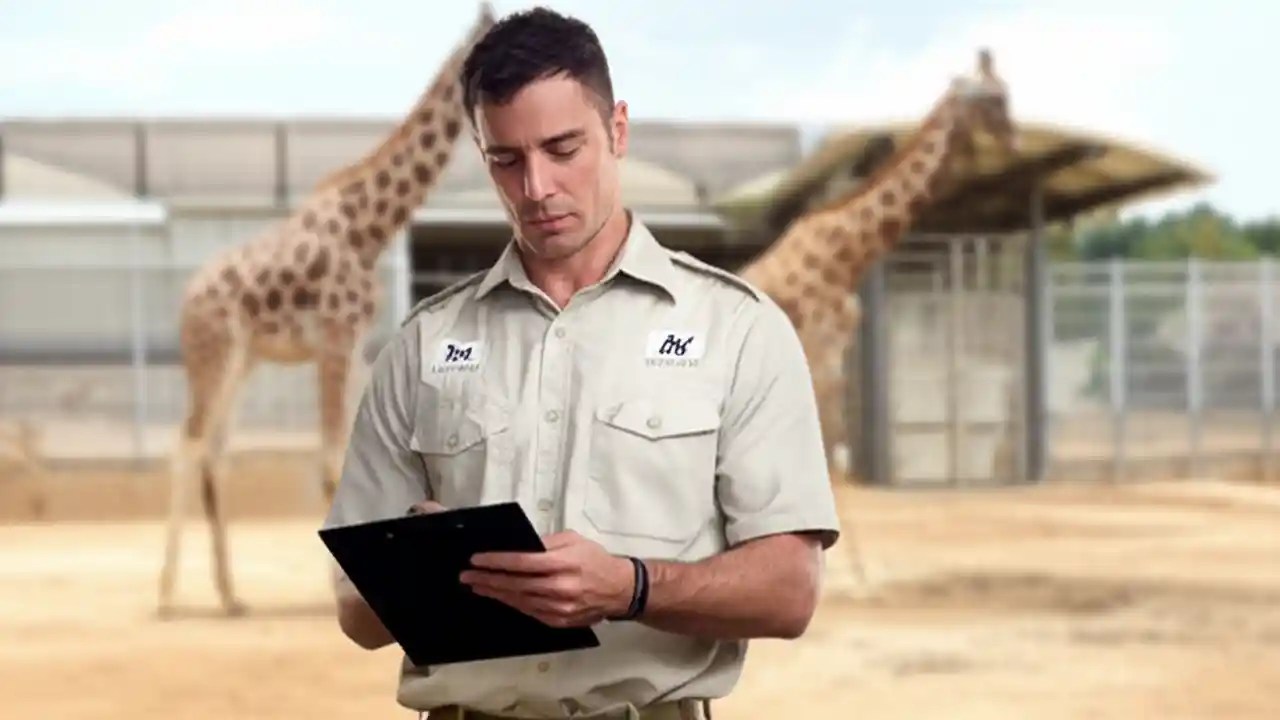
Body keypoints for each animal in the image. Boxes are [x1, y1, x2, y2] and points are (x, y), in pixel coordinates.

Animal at [157, 4, 496, 618]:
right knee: (188, 444)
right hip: (215, 354)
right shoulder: (334, 338)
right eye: (486, 40)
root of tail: (188, 303)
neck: (370, 228)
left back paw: (230, 594)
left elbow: (355, 458)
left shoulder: (354, 342)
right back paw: (169, 595)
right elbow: (330, 461)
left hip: (242, 362)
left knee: (216, 452)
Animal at [738, 49, 1019, 480]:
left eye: (1005, 91)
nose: (1015, 142)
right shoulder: (822, 350)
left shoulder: (835, 353)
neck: (846, 258)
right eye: (992, 98)